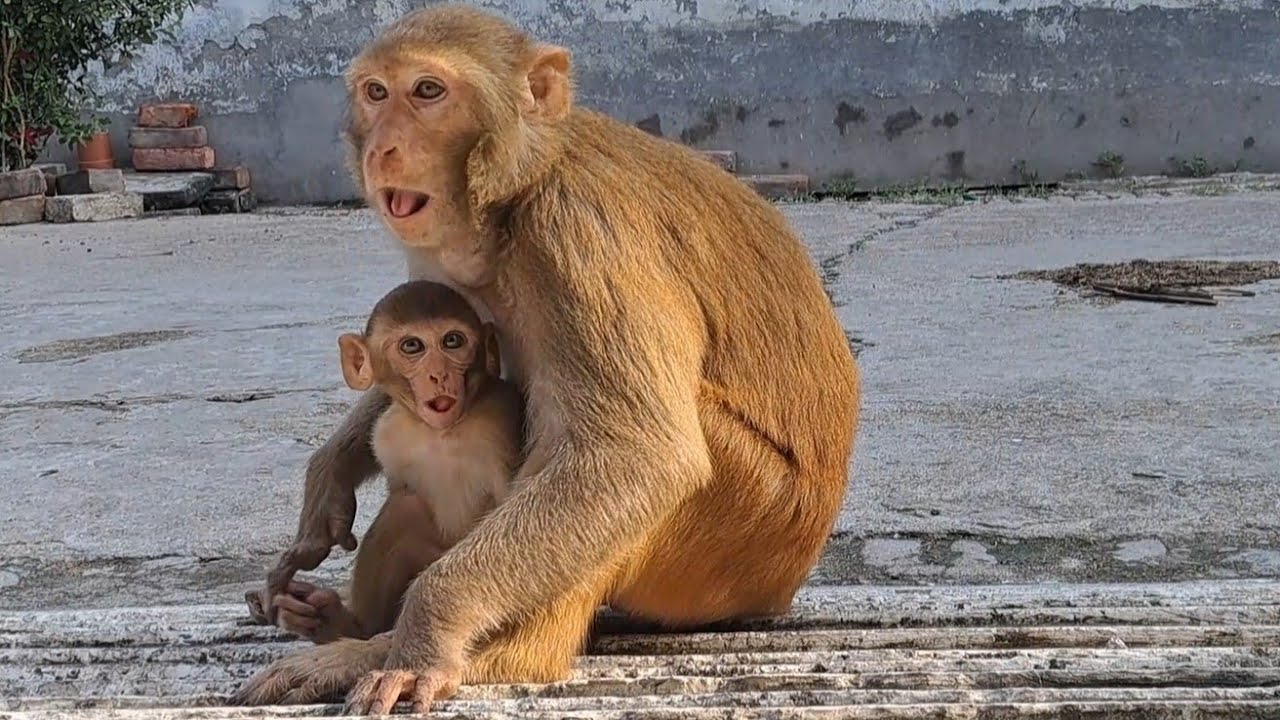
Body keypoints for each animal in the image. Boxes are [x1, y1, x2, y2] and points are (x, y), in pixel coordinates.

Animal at [244, 280, 523, 646]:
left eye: (452, 341)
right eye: (412, 346)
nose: (438, 375)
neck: (442, 433)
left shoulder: (498, 424)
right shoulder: (388, 434)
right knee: (405, 508)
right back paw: (347, 626)